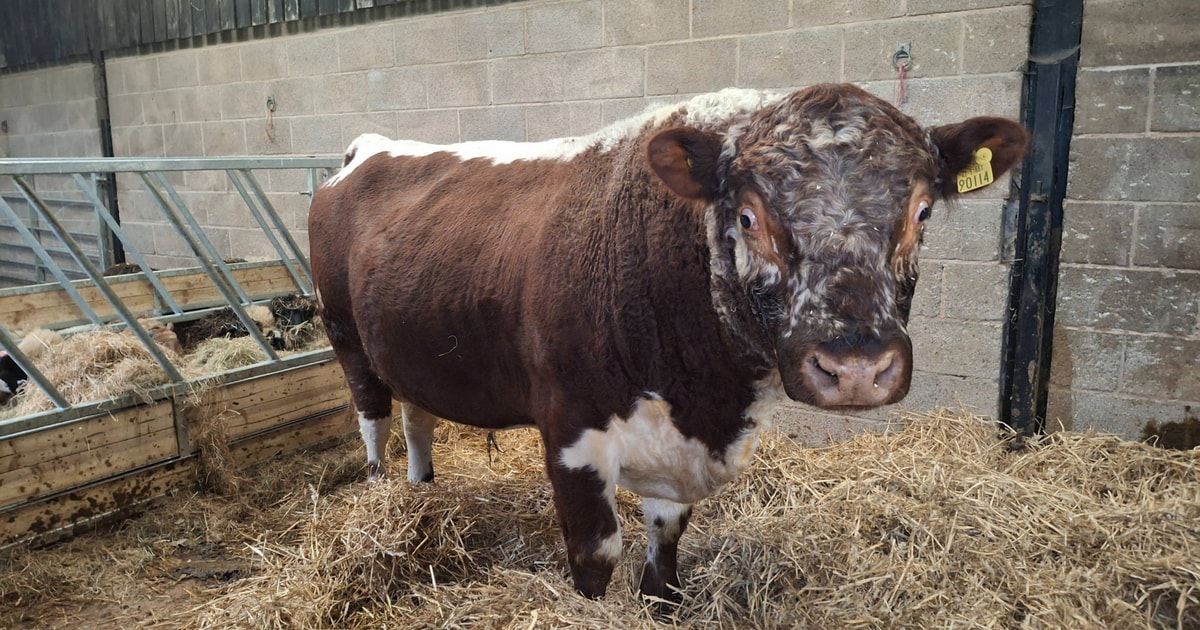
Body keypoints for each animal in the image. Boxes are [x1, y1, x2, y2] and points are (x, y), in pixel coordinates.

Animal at [308, 83, 1028, 602]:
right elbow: (596, 556)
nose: (854, 366)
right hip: (344, 336)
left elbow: (667, 545)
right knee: (373, 420)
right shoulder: (570, 431)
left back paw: (420, 492)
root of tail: (368, 149)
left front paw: (663, 598)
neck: (705, 398)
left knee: (417, 418)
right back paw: (381, 496)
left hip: (407, 345)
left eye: (922, 213)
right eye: (747, 217)